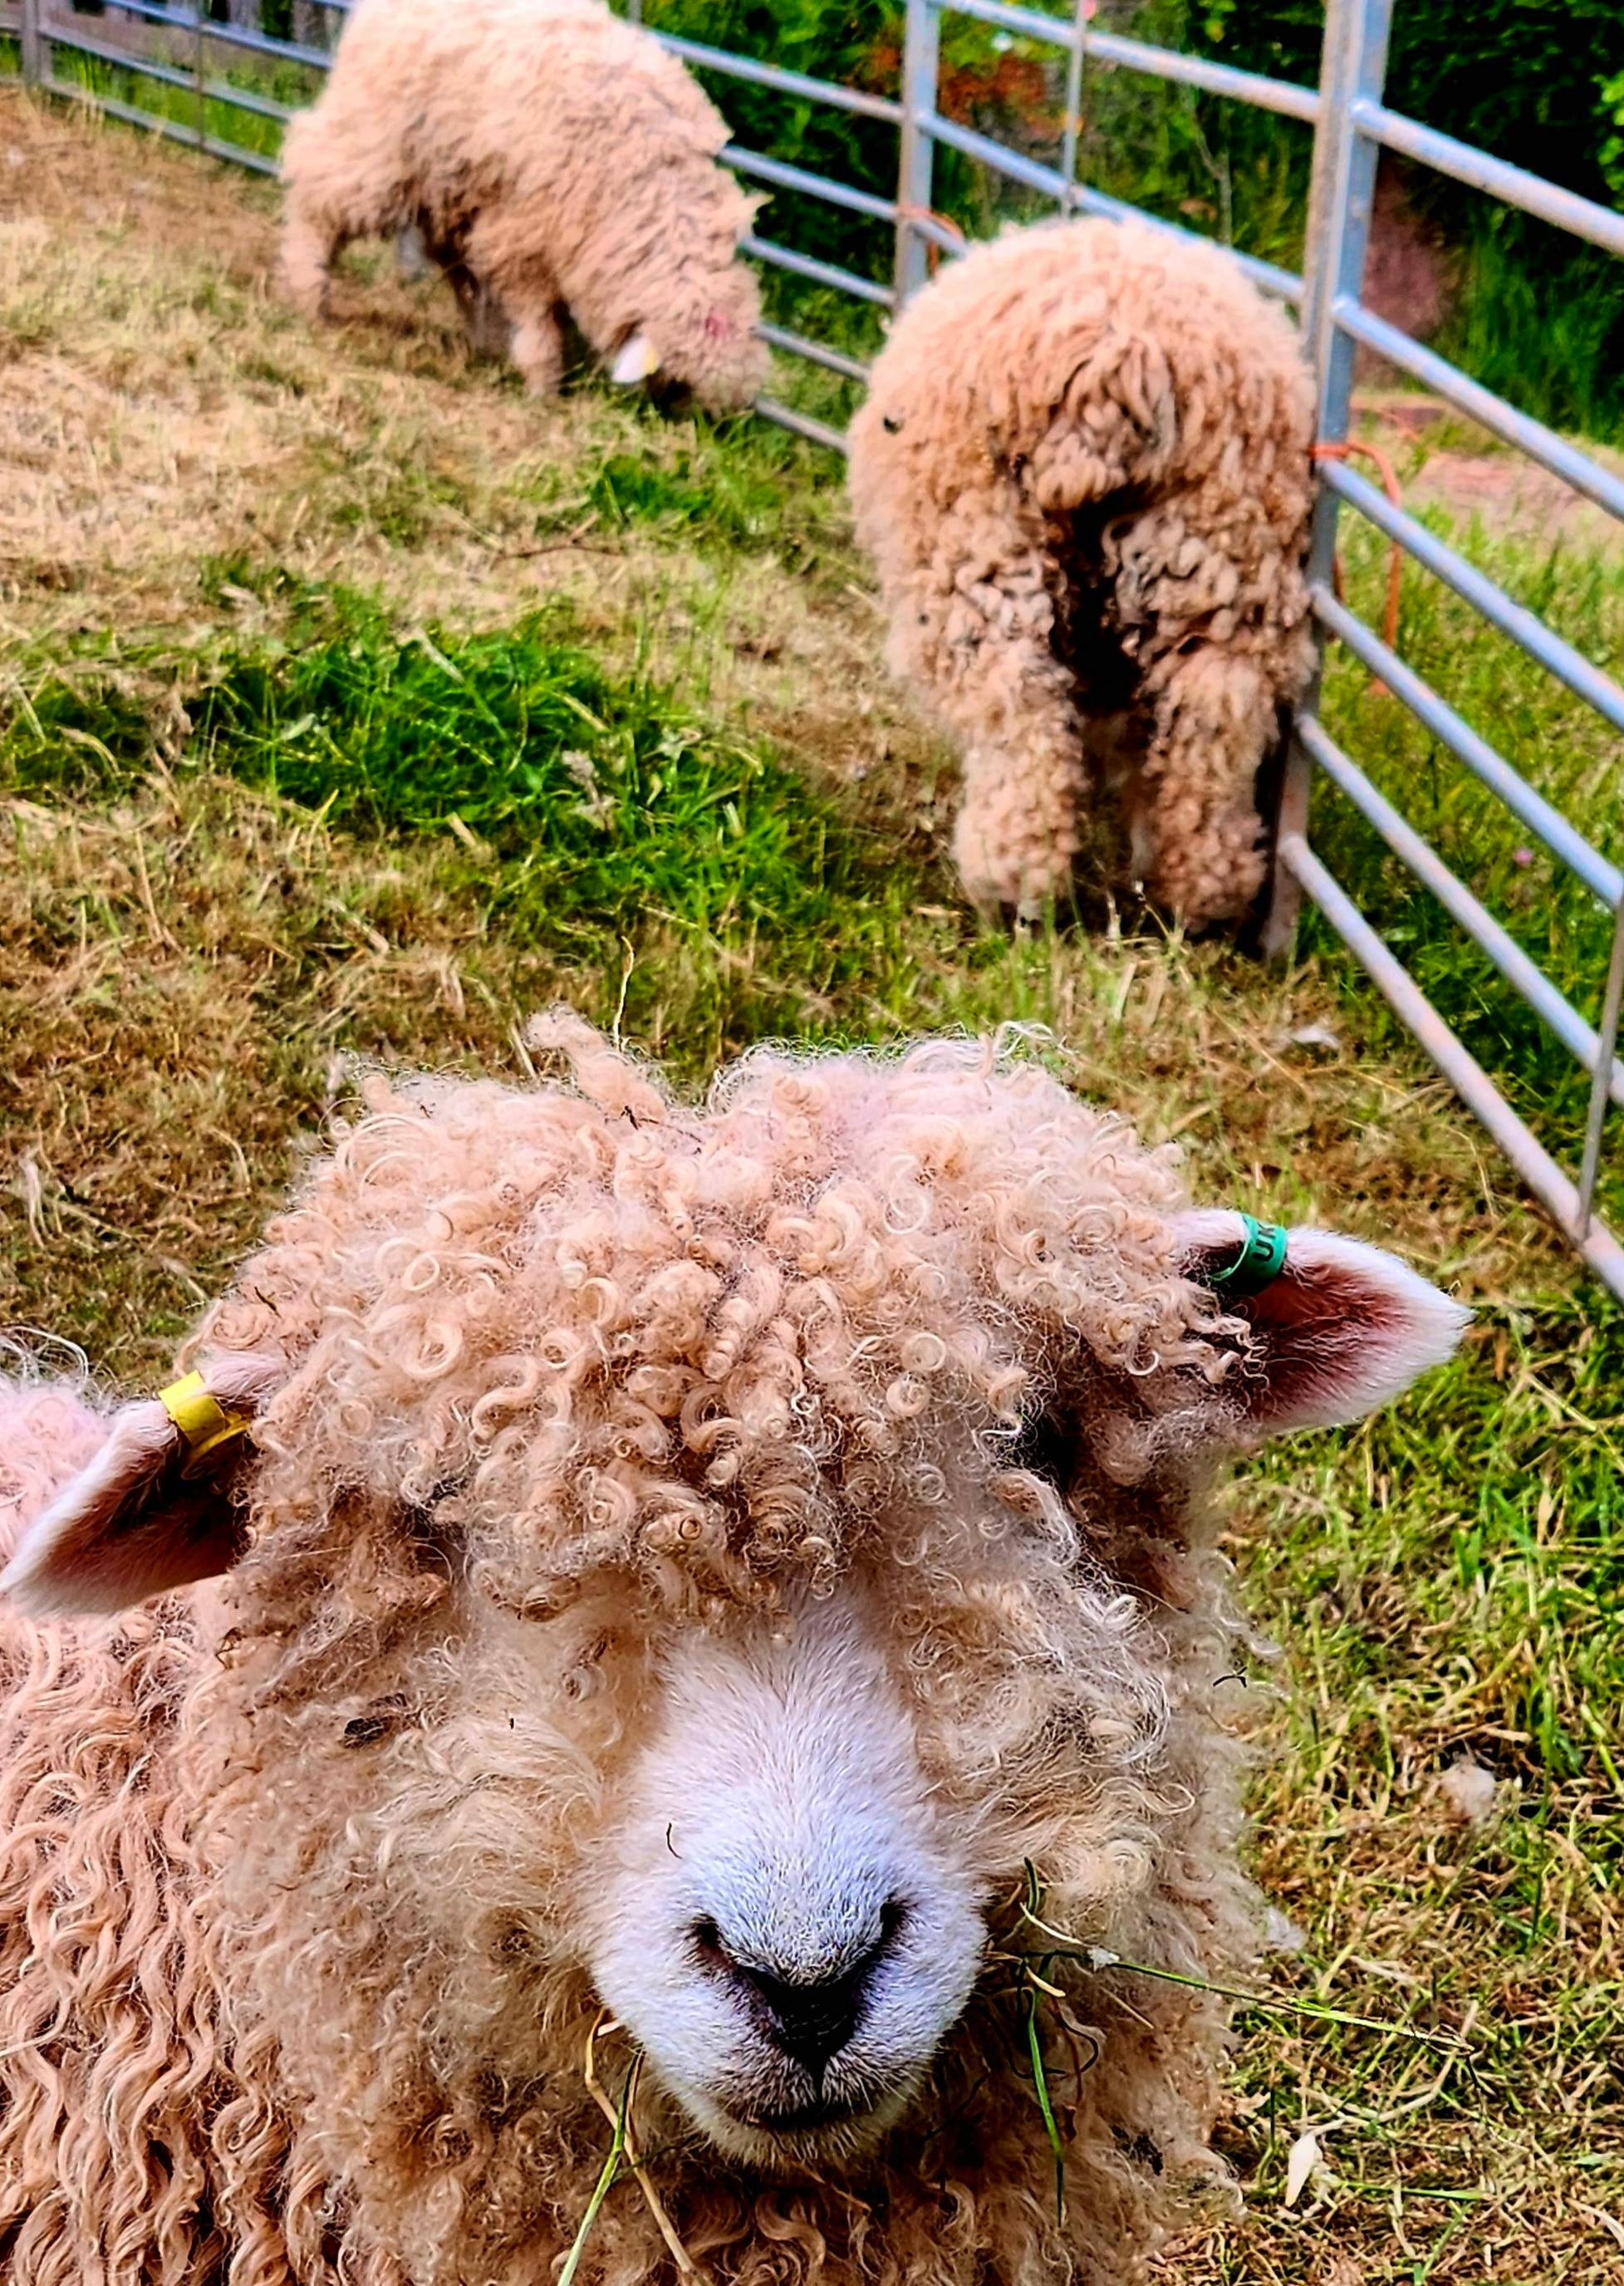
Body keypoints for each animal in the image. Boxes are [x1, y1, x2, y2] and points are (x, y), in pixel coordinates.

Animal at [279, 0, 770, 410]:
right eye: (681, 383)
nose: (670, 419)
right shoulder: (527, 238)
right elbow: (539, 323)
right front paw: (544, 386)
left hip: (452, 183)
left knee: (451, 259)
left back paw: (483, 338)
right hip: (379, 140)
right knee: (317, 194)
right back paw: (307, 296)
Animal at [847, 217, 1318, 928]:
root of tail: (1116, 357)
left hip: (979, 548)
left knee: (1019, 714)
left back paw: (1011, 886)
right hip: (1221, 561)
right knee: (1209, 726)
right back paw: (1201, 893)